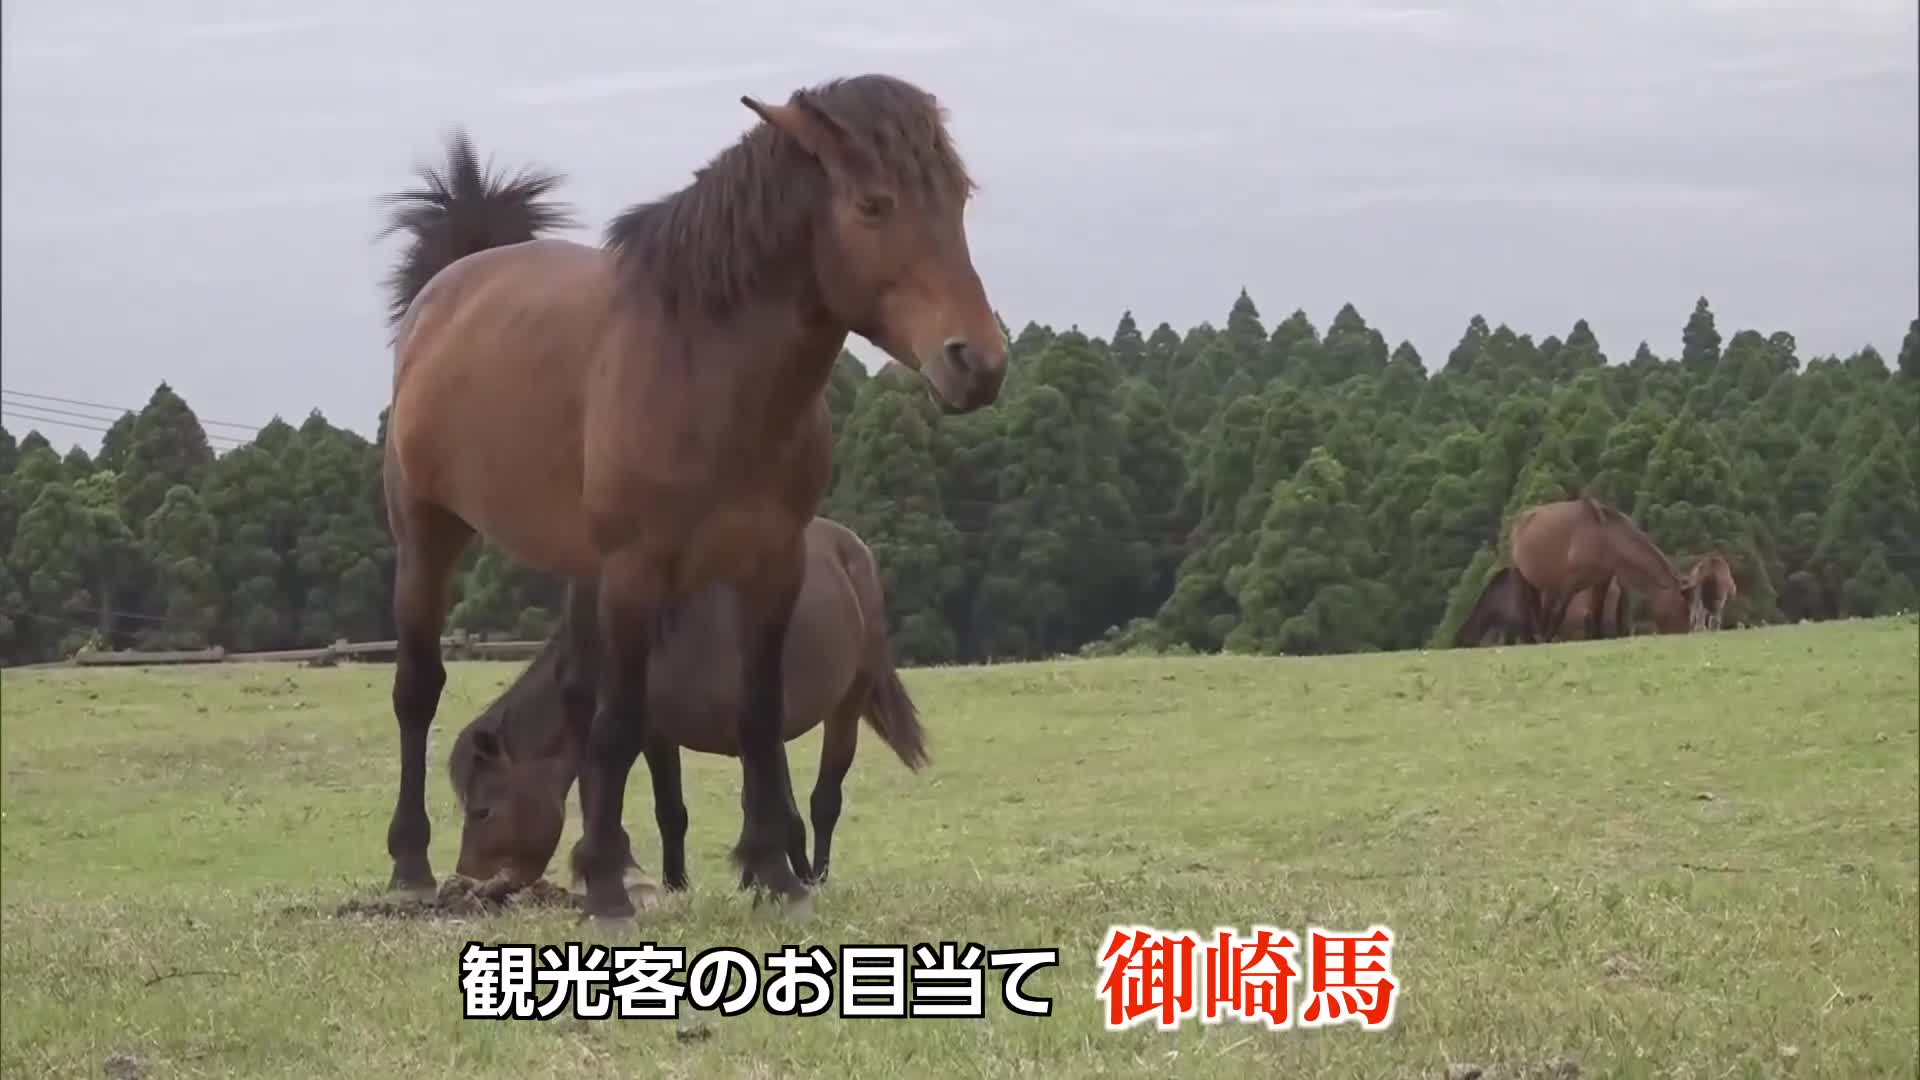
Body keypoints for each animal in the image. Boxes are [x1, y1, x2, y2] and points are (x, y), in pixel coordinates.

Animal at [447, 517, 926, 895]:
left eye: (482, 810)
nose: (466, 881)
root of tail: (851, 549)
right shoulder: (658, 735)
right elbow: (672, 812)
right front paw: (677, 885)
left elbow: (768, 809)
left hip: (846, 703)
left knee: (824, 799)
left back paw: (816, 876)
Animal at [1509, 497, 1698, 644]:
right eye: (1682, 607)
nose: (1685, 633)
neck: (1606, 538)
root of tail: (1523, 518)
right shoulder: (1571, 581)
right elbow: (1560, 613)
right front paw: (1547, 639)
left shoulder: (1601, 580)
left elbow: (1597, 613)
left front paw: (1596, 638)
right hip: (1523, 577)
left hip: (1547, 584)